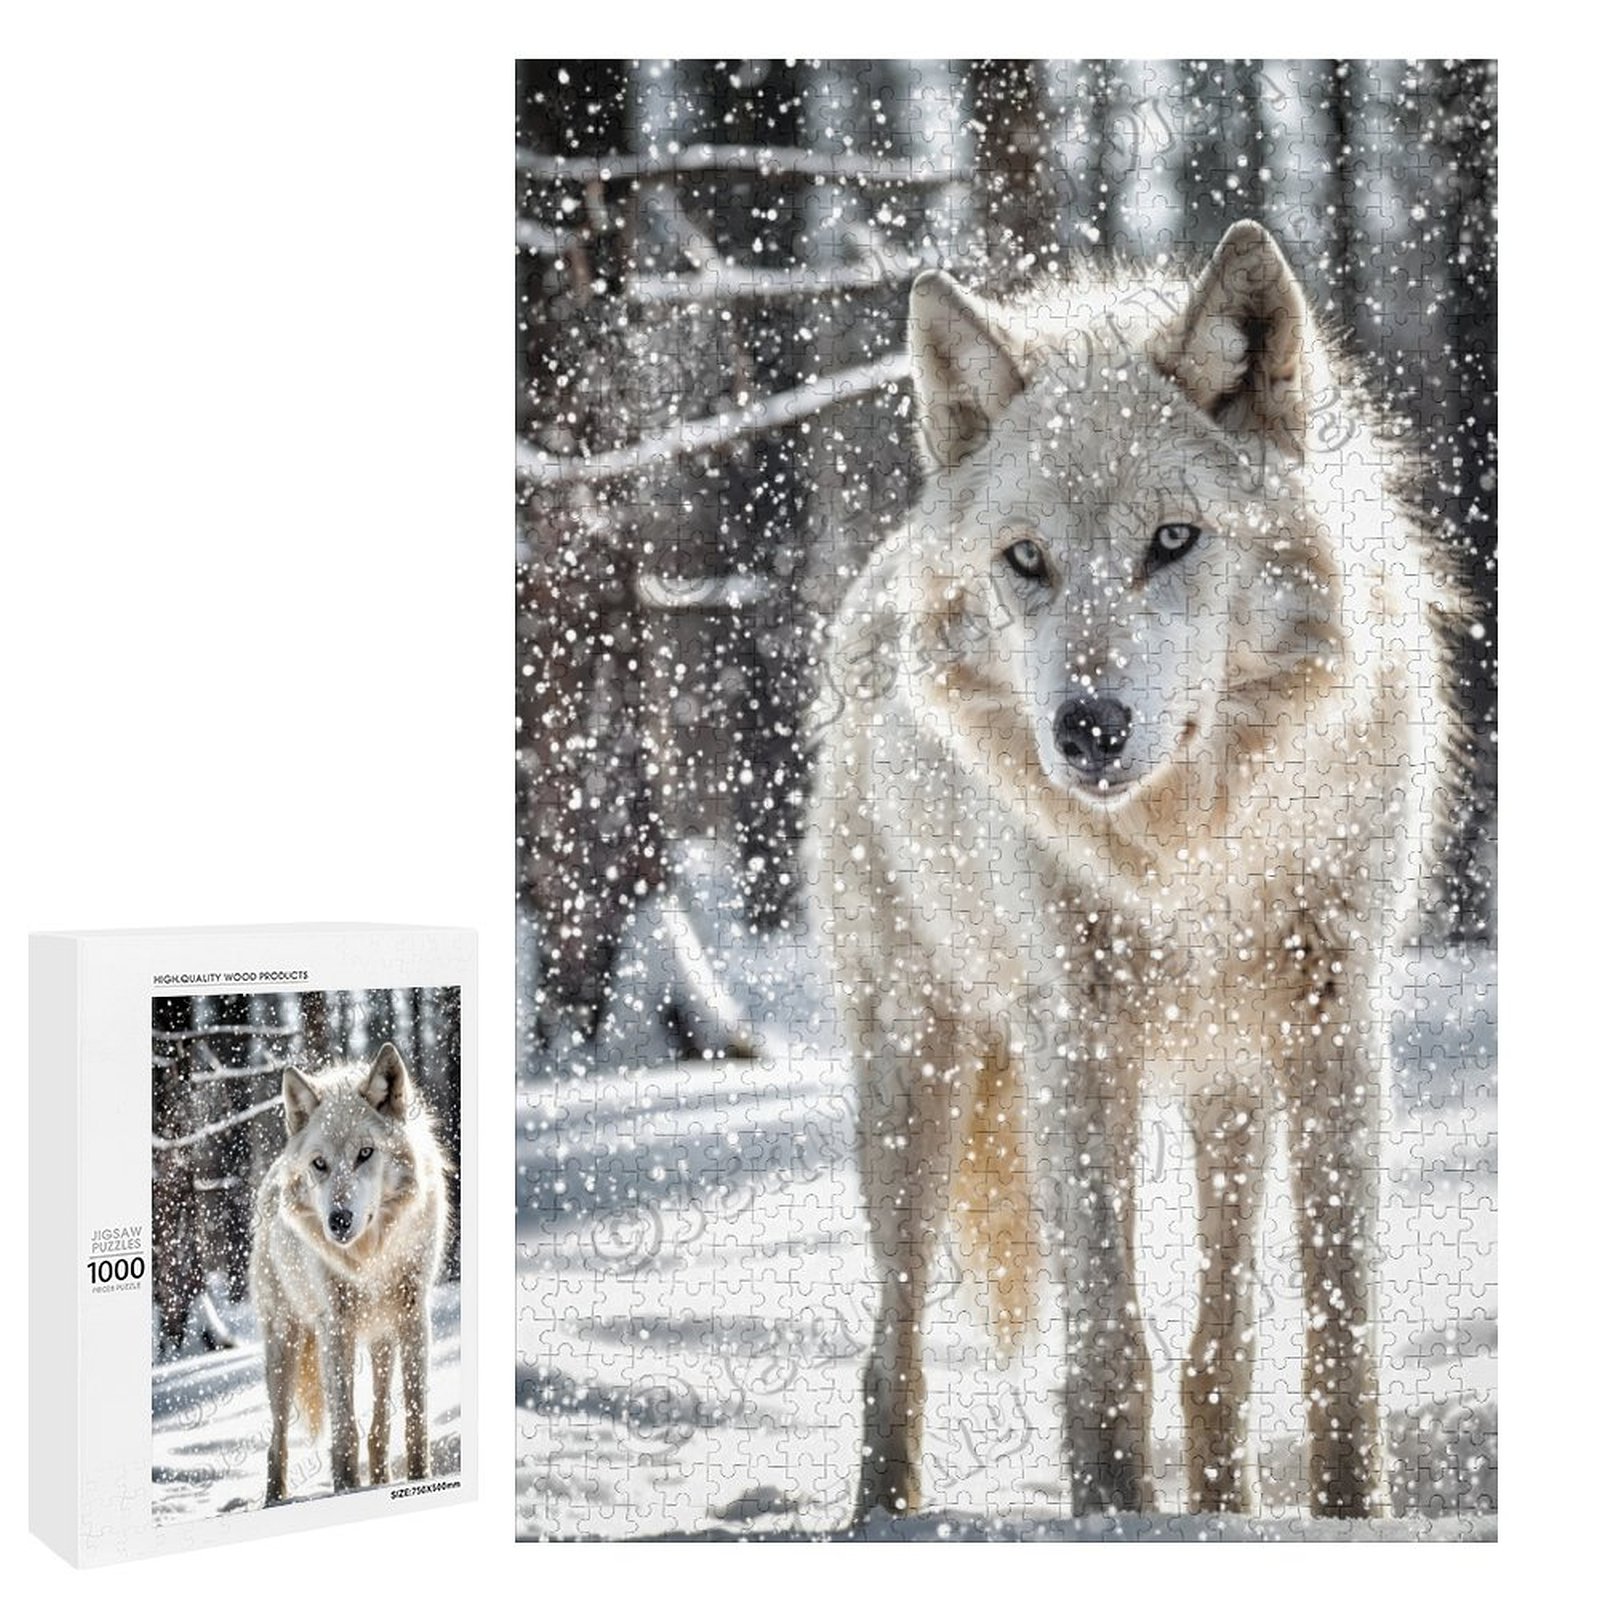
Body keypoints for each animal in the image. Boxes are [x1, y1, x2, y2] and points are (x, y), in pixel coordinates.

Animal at [250, 1042, 448, 1503]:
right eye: (320, 1164)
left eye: (365, 1153)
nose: (338, 1220)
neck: (369, 1259)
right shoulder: (334, 1327)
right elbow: (343, 1430)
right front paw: (345, 1488)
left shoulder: (414, 1314)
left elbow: (414, 1415)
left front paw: (419, 1478)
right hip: (283, 1343)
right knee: (277, 1438)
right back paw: (274, 1498)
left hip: (380, 1337)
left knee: (380, 1420)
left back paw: (380, 1478)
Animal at [810, 221, 1454, 1523]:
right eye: (1027, 562)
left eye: (1171, 540)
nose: (1086, 730)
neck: (1190, 850)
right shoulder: (1076, 1035)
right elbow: (1106, 1339)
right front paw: (1110, 1511)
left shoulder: (1333, 1020)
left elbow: (1336, 1319)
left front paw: (1350, 1514)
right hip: (915, 1065)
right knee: (892, 1336)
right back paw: (882, 1519)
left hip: (1225, 1077)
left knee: (1221, 1332)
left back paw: (1221, 1503)